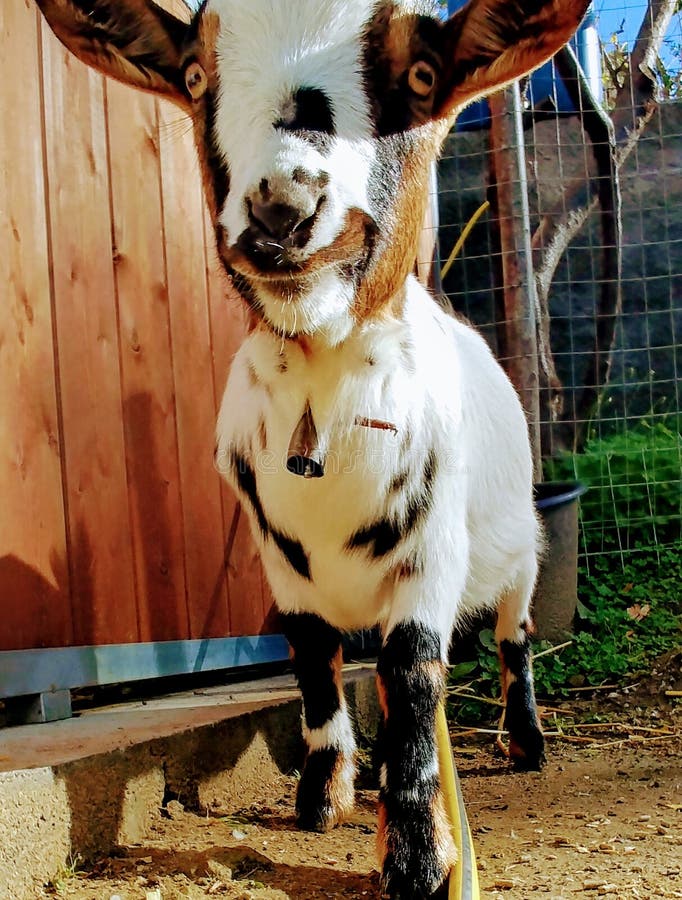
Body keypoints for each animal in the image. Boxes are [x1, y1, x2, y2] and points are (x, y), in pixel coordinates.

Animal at [36, 0, 588, 895]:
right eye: (195, 75)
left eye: (423, 74)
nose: (283, 210)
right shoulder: (280, 564)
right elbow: (314, 665)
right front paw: (324, 797)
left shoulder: (430, 560)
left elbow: (411, 673)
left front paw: (418, 854)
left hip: (525, 548)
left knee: (516, 635)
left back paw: (526, 741)